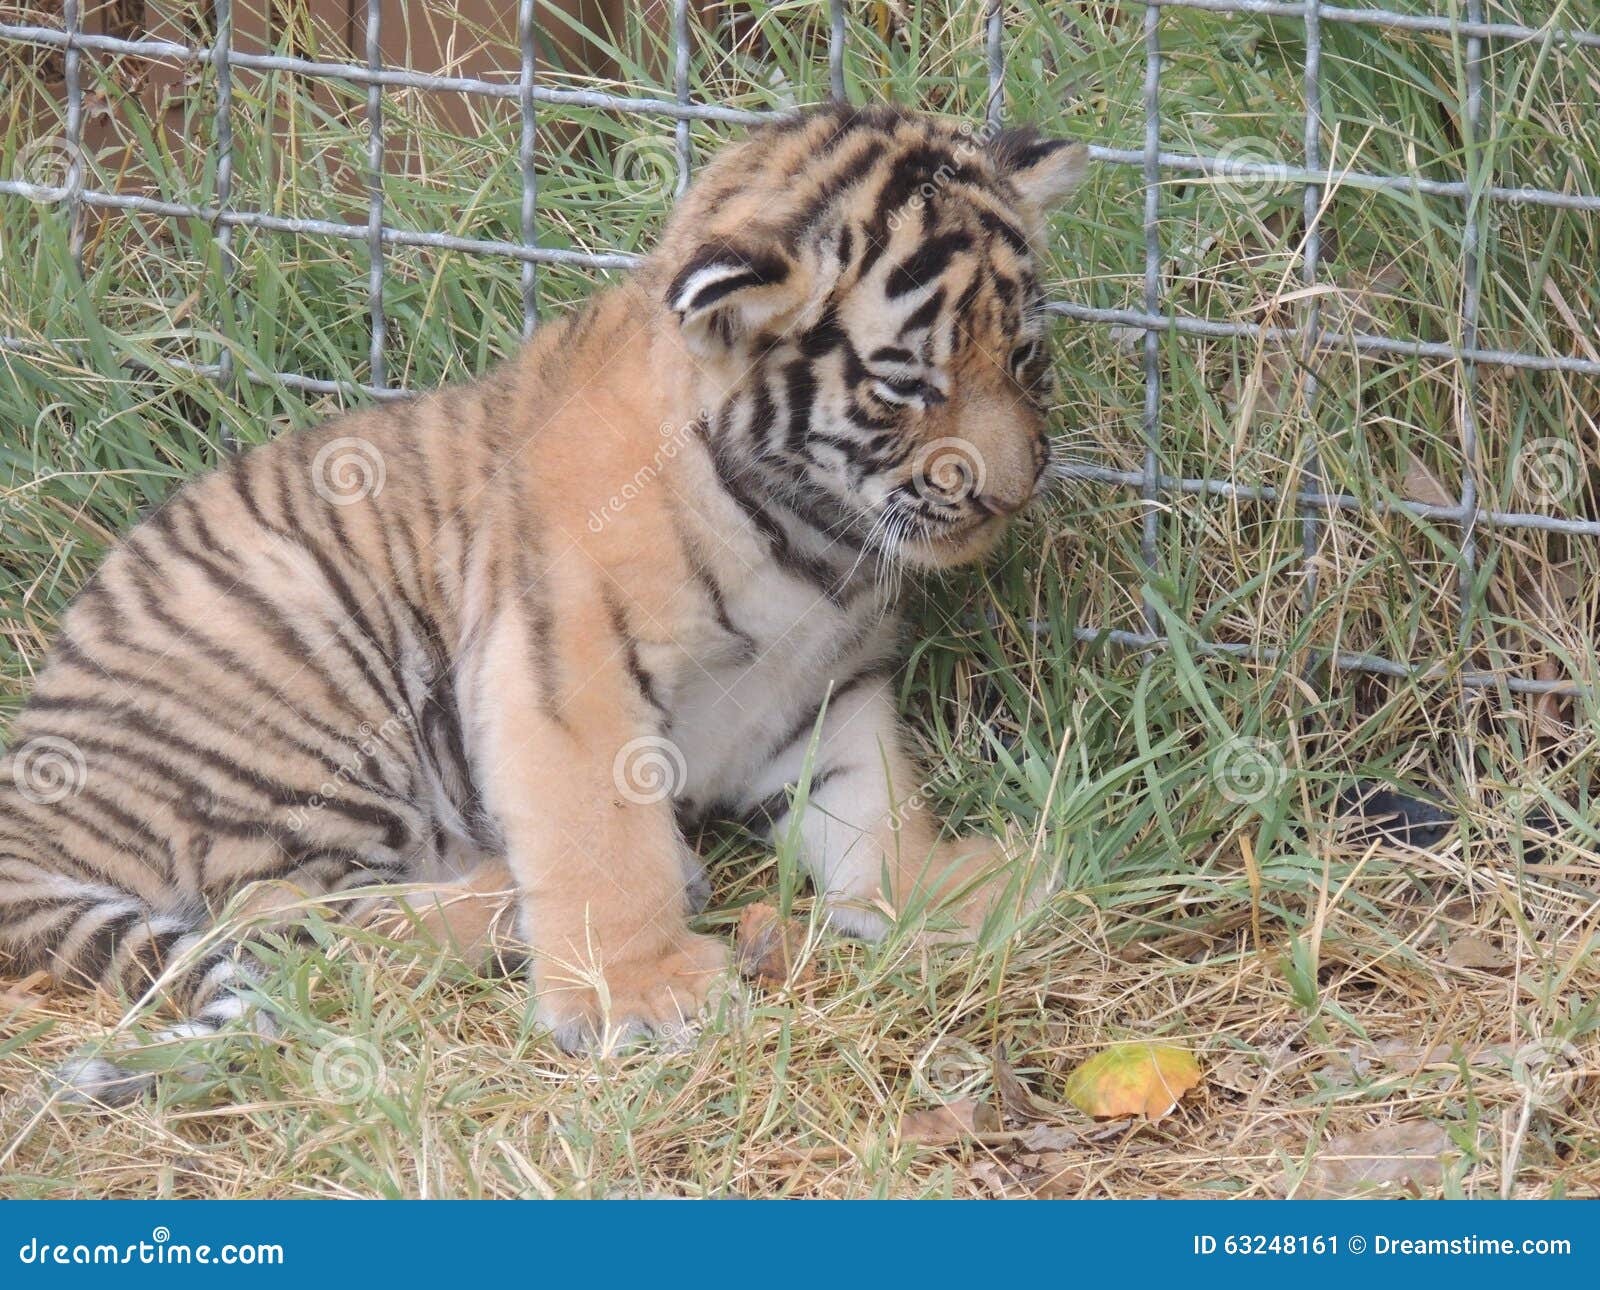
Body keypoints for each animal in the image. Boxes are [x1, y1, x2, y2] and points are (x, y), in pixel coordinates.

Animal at [0, 104, 1088, 1102]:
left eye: (1024, 356)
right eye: (907, 386)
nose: (1012, 490)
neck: (810, 530)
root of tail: (28, 791)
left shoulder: (820, 682)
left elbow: (866, 797)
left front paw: (943, 890)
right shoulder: (565, 658)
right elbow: (598, 833)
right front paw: (644, 994)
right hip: (305, 690)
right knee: (268, 912)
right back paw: (552, 903)